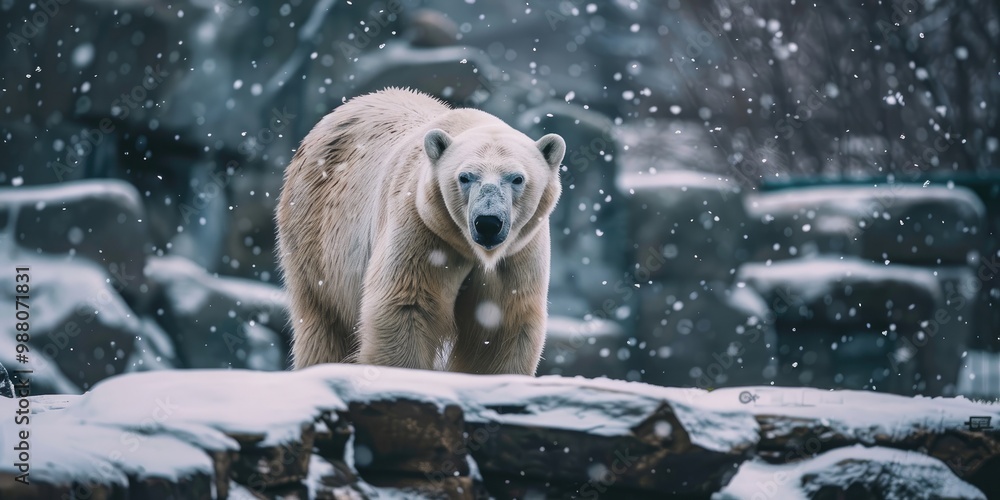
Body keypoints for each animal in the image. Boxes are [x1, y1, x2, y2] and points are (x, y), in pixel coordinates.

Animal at [276, 88, 565, 375]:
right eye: (464, 177)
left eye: (517, 178)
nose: (488, 223)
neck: (468, 247)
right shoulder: (422, 227)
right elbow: (406, 306)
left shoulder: (518, 253)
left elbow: (500, 324)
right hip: (315, 235)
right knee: (324, 320)